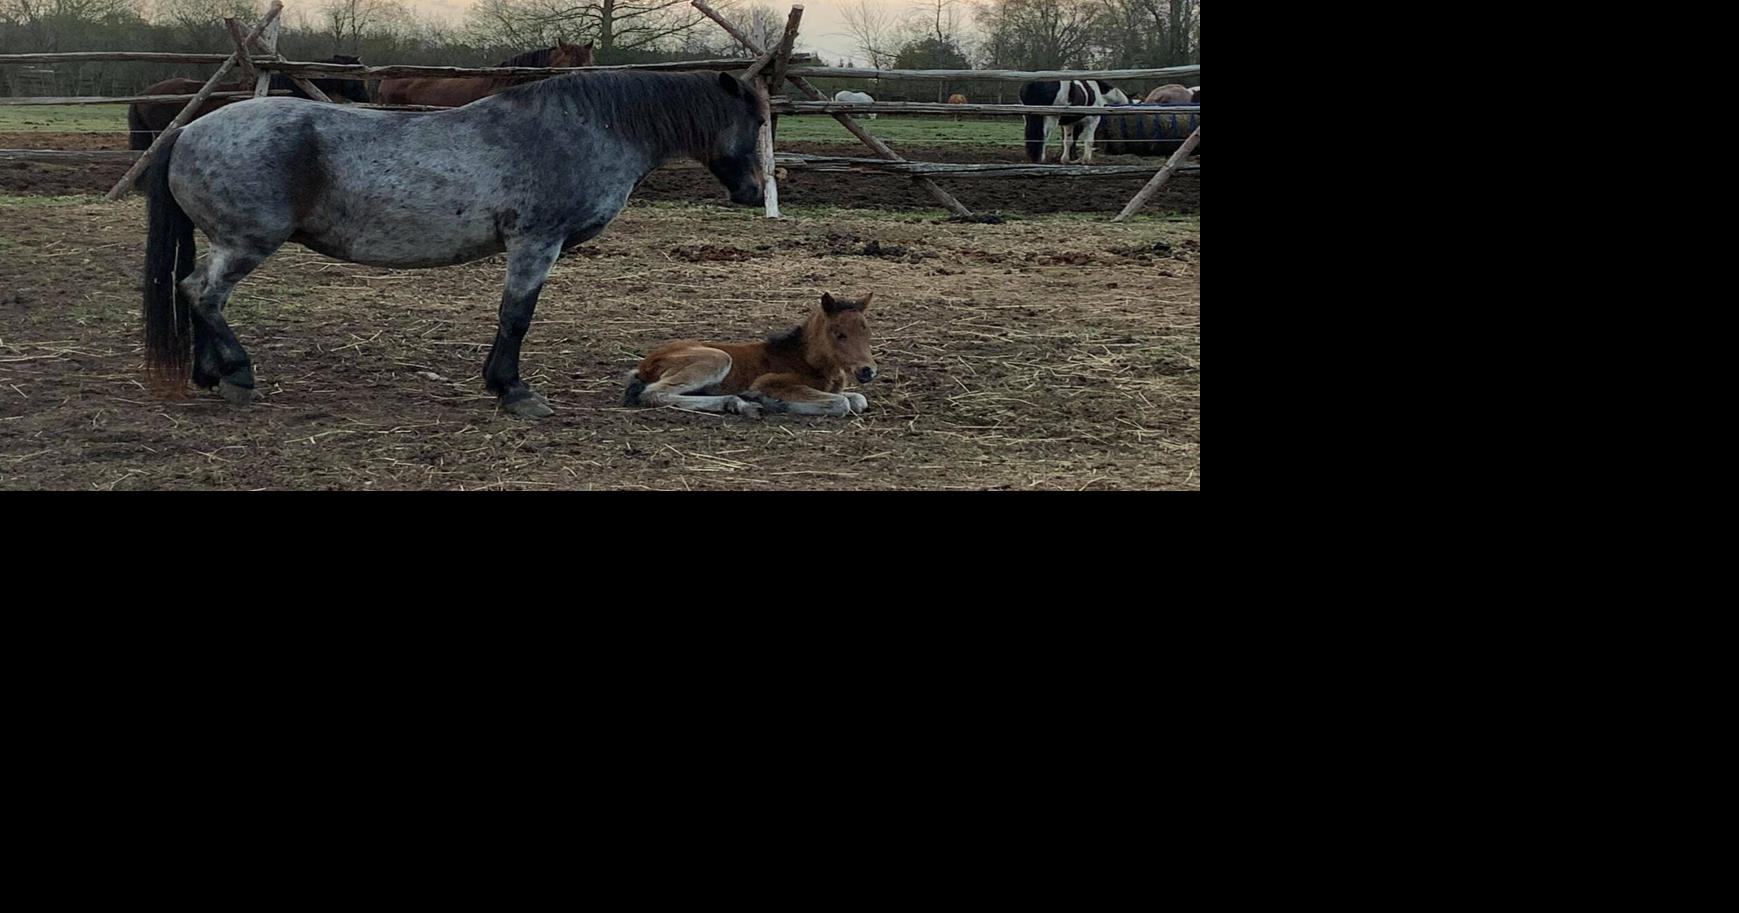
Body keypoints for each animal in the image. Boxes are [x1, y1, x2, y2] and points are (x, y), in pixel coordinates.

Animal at [140, 70, 767, 419]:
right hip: (246, 243)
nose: (755, 194)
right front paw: (513, 390)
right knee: (202, 293)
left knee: (199, 294)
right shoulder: (536, 242)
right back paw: (239, 374)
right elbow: (516, 316)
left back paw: (212, 375)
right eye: (757, 123)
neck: (578, 129)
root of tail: (188, 129)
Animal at [624, 292, 875, 418]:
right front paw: (774, 403)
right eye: (839, 334)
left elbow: (858, 400)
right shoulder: (773, 383)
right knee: (654, 393)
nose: (868, 370)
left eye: (867, 330)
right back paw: (742, 403)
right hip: (718, 358)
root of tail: (646, 364)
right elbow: (842, 403)